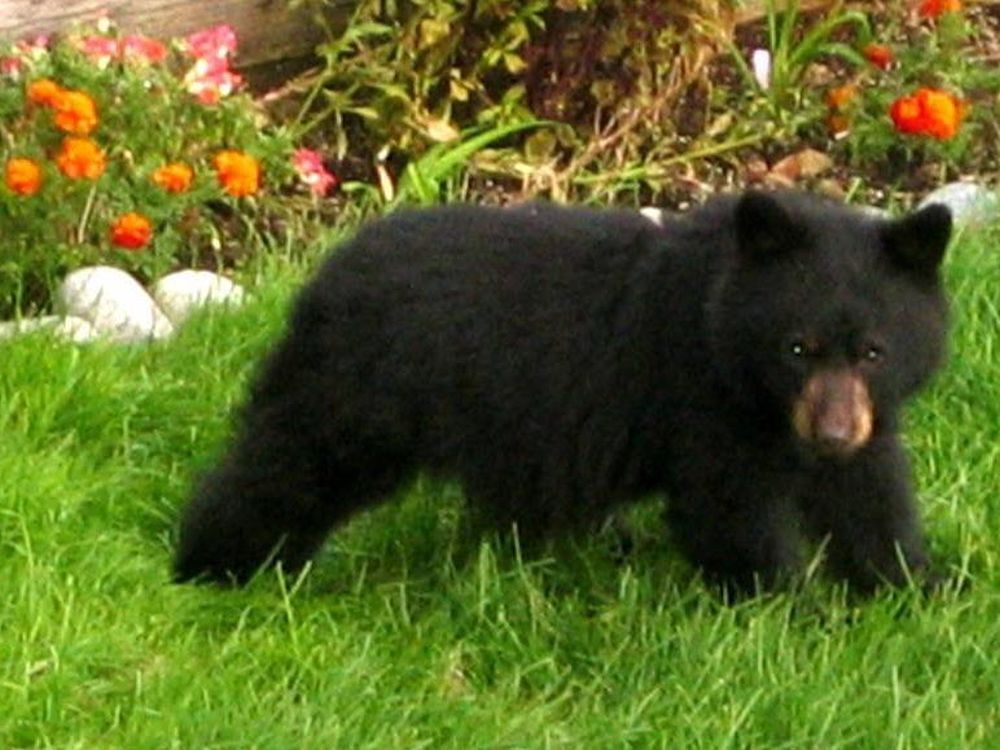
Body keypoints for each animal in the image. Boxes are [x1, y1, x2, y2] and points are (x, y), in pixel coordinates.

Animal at [173, 189, 953, 595]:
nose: (832, 434)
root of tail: (324, 276)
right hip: (358, 391)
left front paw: (917, 586)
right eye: (797, 348)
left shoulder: (861, 417)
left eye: (875, 351)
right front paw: (791, 610)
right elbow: (730, 511)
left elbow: (870, 498)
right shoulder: (703, 398)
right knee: (287, 466)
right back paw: (215, 566)